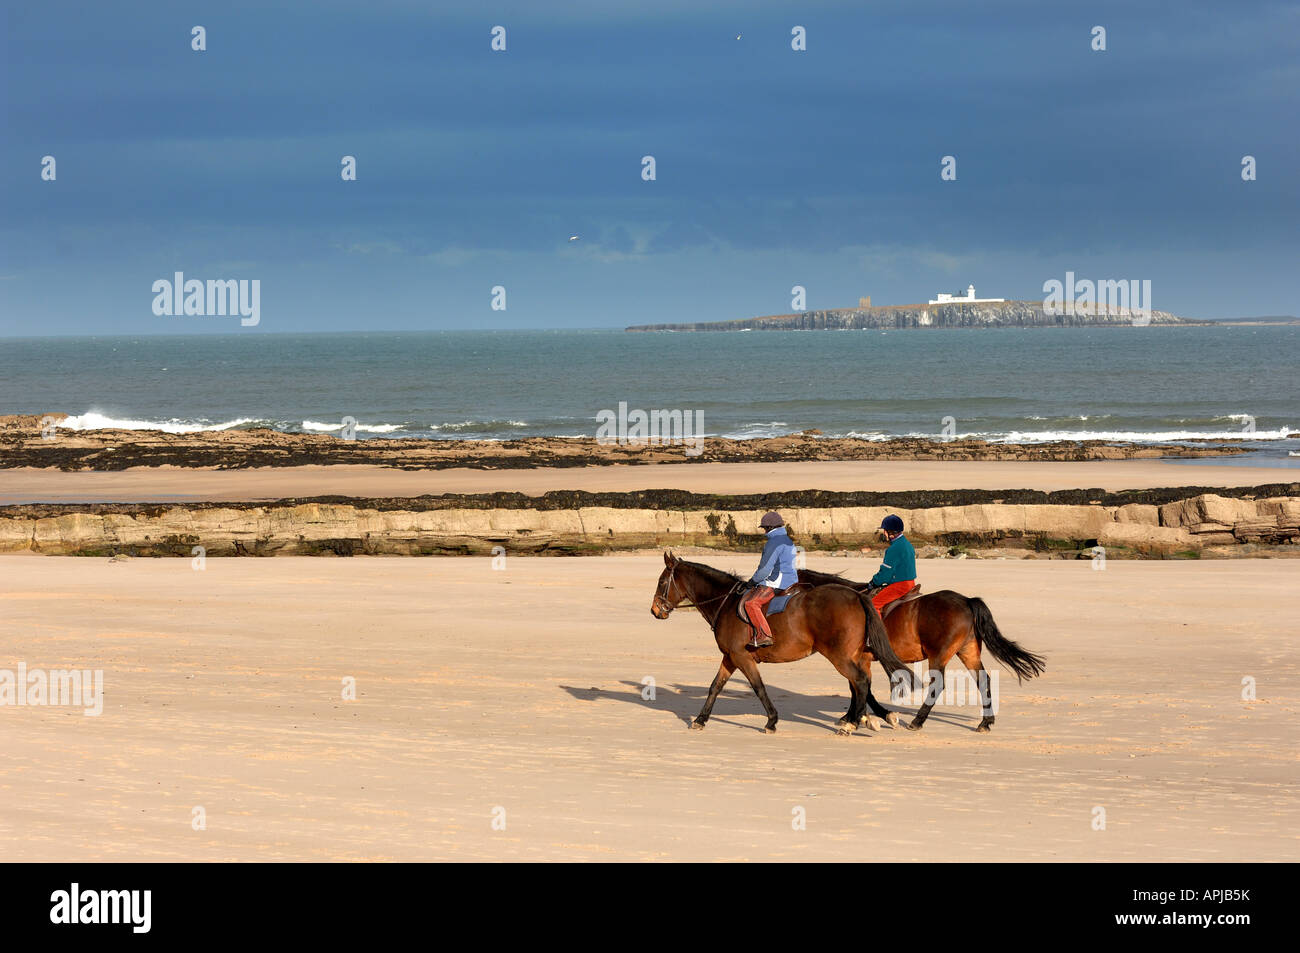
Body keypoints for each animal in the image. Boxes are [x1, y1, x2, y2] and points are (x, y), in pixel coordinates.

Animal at [650, 552, 914, 735]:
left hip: (840, 656)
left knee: (859, 681)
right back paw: (865, 718)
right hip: (853, 655)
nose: (654, 610)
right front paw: (700, 719)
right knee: (862, 683)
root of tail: (857, 595)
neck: (725, 603)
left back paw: (853, 723)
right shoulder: (730, 657)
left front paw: (772, 721)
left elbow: (758, 687)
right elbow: (715, 686)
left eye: (662, 582)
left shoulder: (741, 657)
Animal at [795, 568, 1046, 732]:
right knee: (982, 680)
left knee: (938, 685)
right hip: (968, 652)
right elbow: (858, 686)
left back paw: (917, 721)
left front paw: (862, 717)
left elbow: (858, 686)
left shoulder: (855, 657)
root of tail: (966, 600)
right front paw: (856, 716)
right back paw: (985, 722)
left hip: (939, 655)